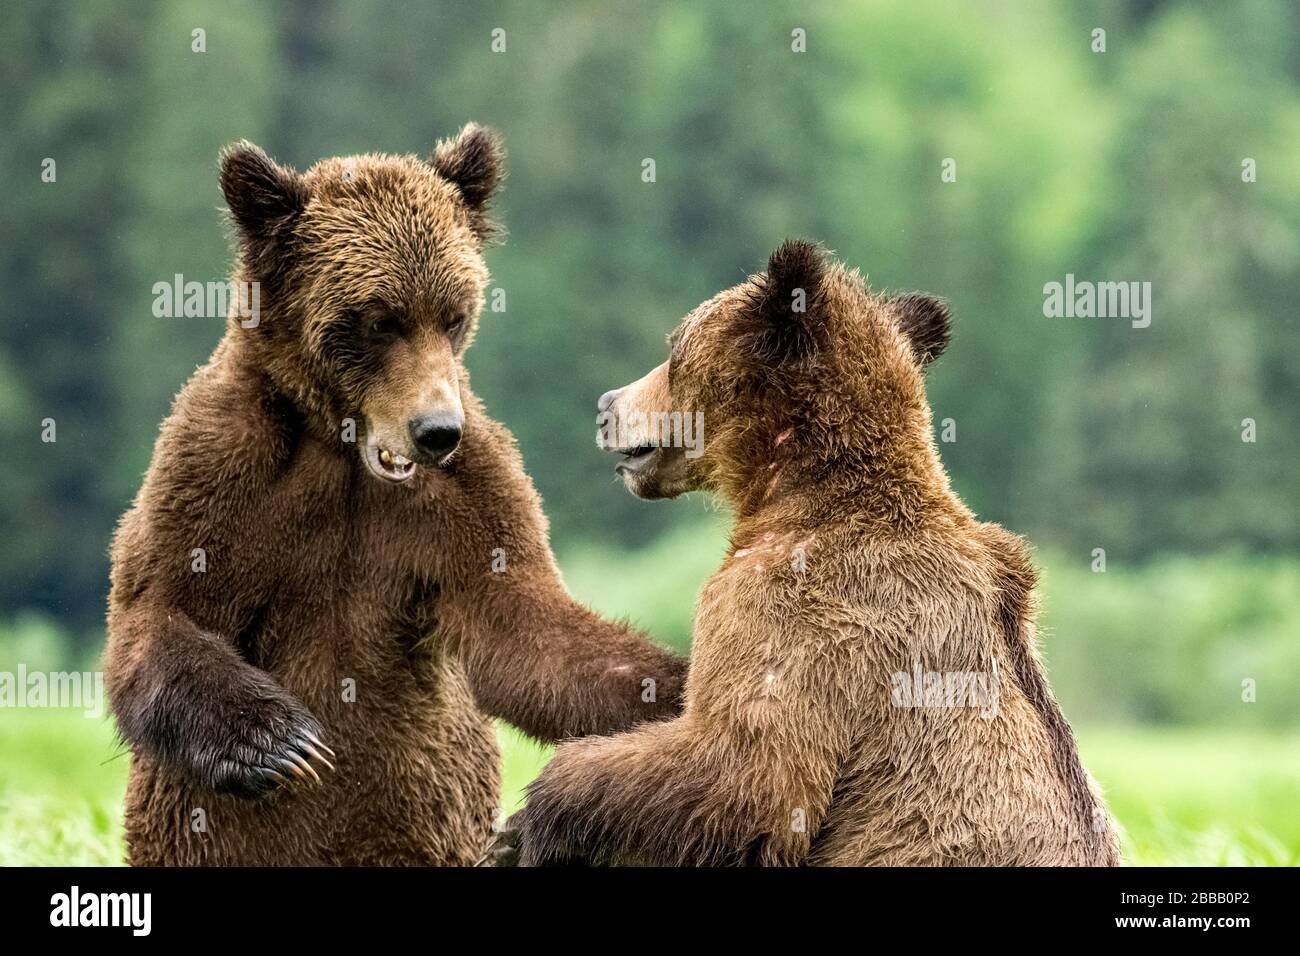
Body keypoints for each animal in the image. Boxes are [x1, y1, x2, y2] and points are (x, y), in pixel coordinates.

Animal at [103, 124, 687, 866]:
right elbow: (159, 610)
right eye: (379, 319)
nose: (436, 430)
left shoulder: (467, 498)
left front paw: (676, 688)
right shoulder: (217, 470)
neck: (344, 448)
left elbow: (528, 629)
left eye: (453, 314)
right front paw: (282, 742)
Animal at [506, 240, 1121, 866]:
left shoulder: (804, 612)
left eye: (673, 346)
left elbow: (747, 773)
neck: (799, 492)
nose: (607, 403)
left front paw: (535, 812)